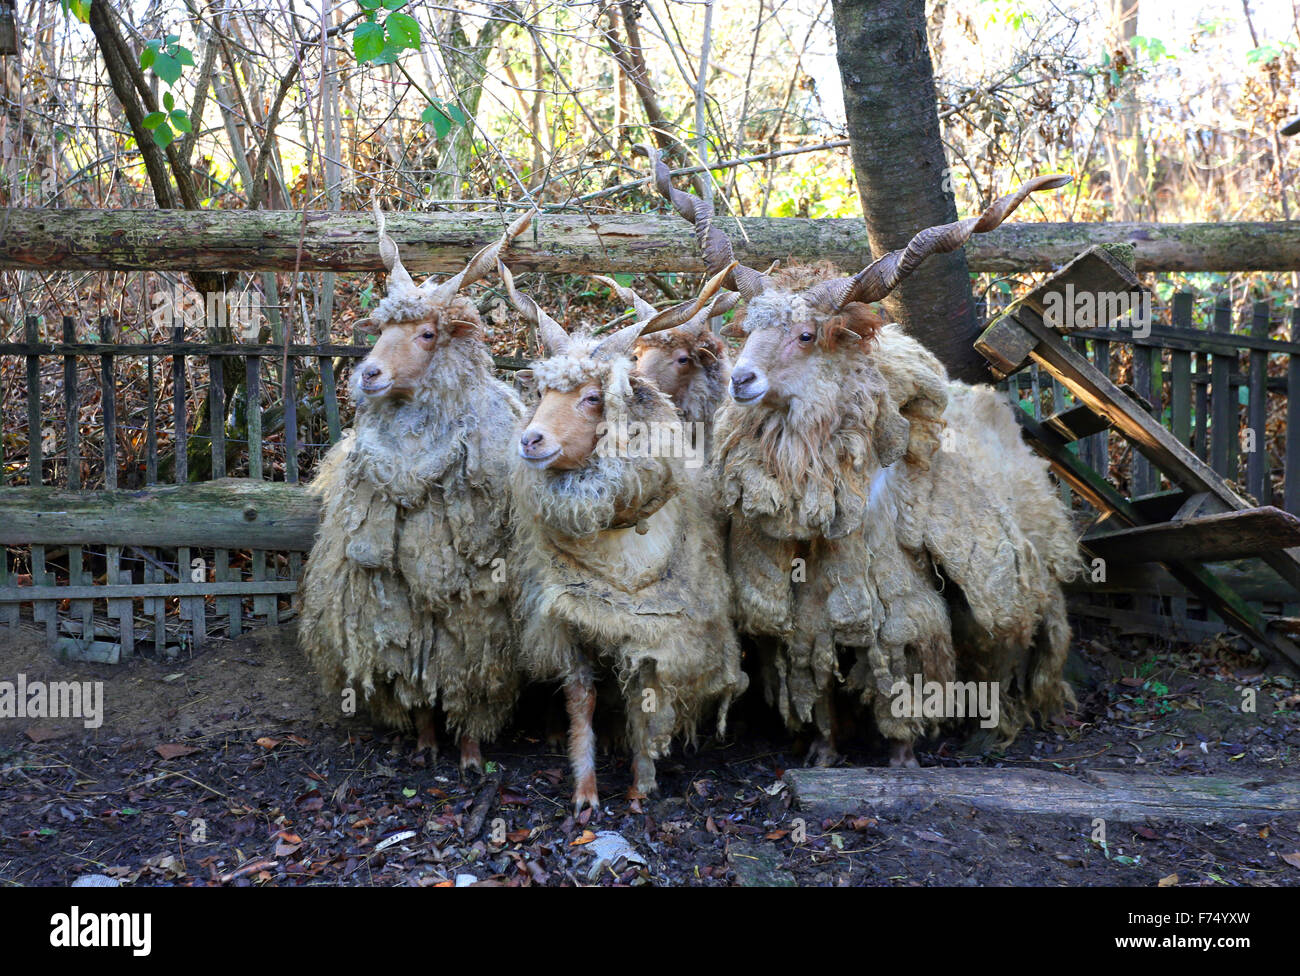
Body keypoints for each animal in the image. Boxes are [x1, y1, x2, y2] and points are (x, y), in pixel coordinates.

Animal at [299, 204, 533, 769]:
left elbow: (468, 678)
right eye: (381, 329)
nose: (369, 373)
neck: (411, 473)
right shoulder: (390, 606)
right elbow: (410, 672)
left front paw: (470, 753)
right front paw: (426, 743)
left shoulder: (477, 611)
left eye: (428, 334)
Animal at [501, 259, 759, 810]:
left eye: (593, 398)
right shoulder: (567, 621)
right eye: (542, 394)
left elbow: (646, 699)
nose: (531, 440)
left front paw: (642, 784)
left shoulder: (656, 634)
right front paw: (585, 792)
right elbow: (581, 701)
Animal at [644, 144, 1081, 769]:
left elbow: (900, 673)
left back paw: (999, 722)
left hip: (1023, 569)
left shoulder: (898, 598)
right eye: (747, 329)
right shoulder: (810, 612)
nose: (742, 381)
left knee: (1017, 636)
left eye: (807, 334)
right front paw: (822, 752)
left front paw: (901, 756)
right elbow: (817, 676)